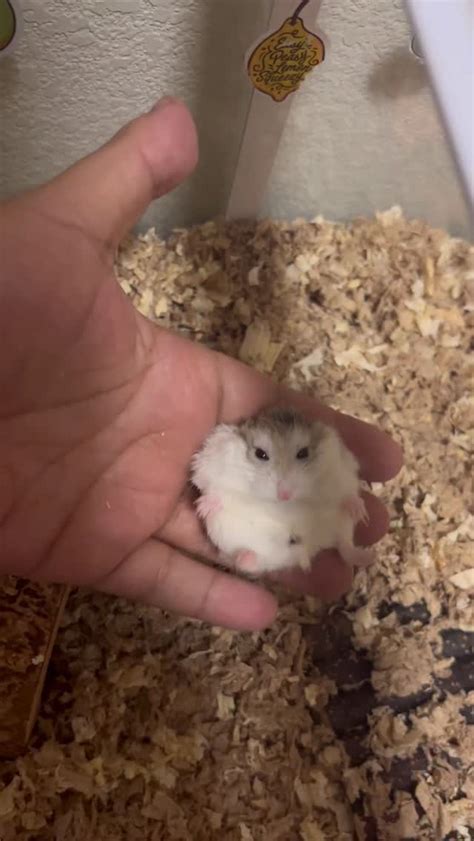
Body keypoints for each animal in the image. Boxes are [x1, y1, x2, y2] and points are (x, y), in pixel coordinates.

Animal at [191, 407, 373, 575]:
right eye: (260, 454)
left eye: (303, 453)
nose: (284, 495)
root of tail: (300, 554)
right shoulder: (211, 464)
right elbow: (216, 490)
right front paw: (203, 508)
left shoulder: (342, 469)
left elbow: (346, 493)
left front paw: (359, 510)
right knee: (250, 562)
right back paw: (244, 556)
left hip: (341, 524)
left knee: (344, 545)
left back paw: (368, 556)